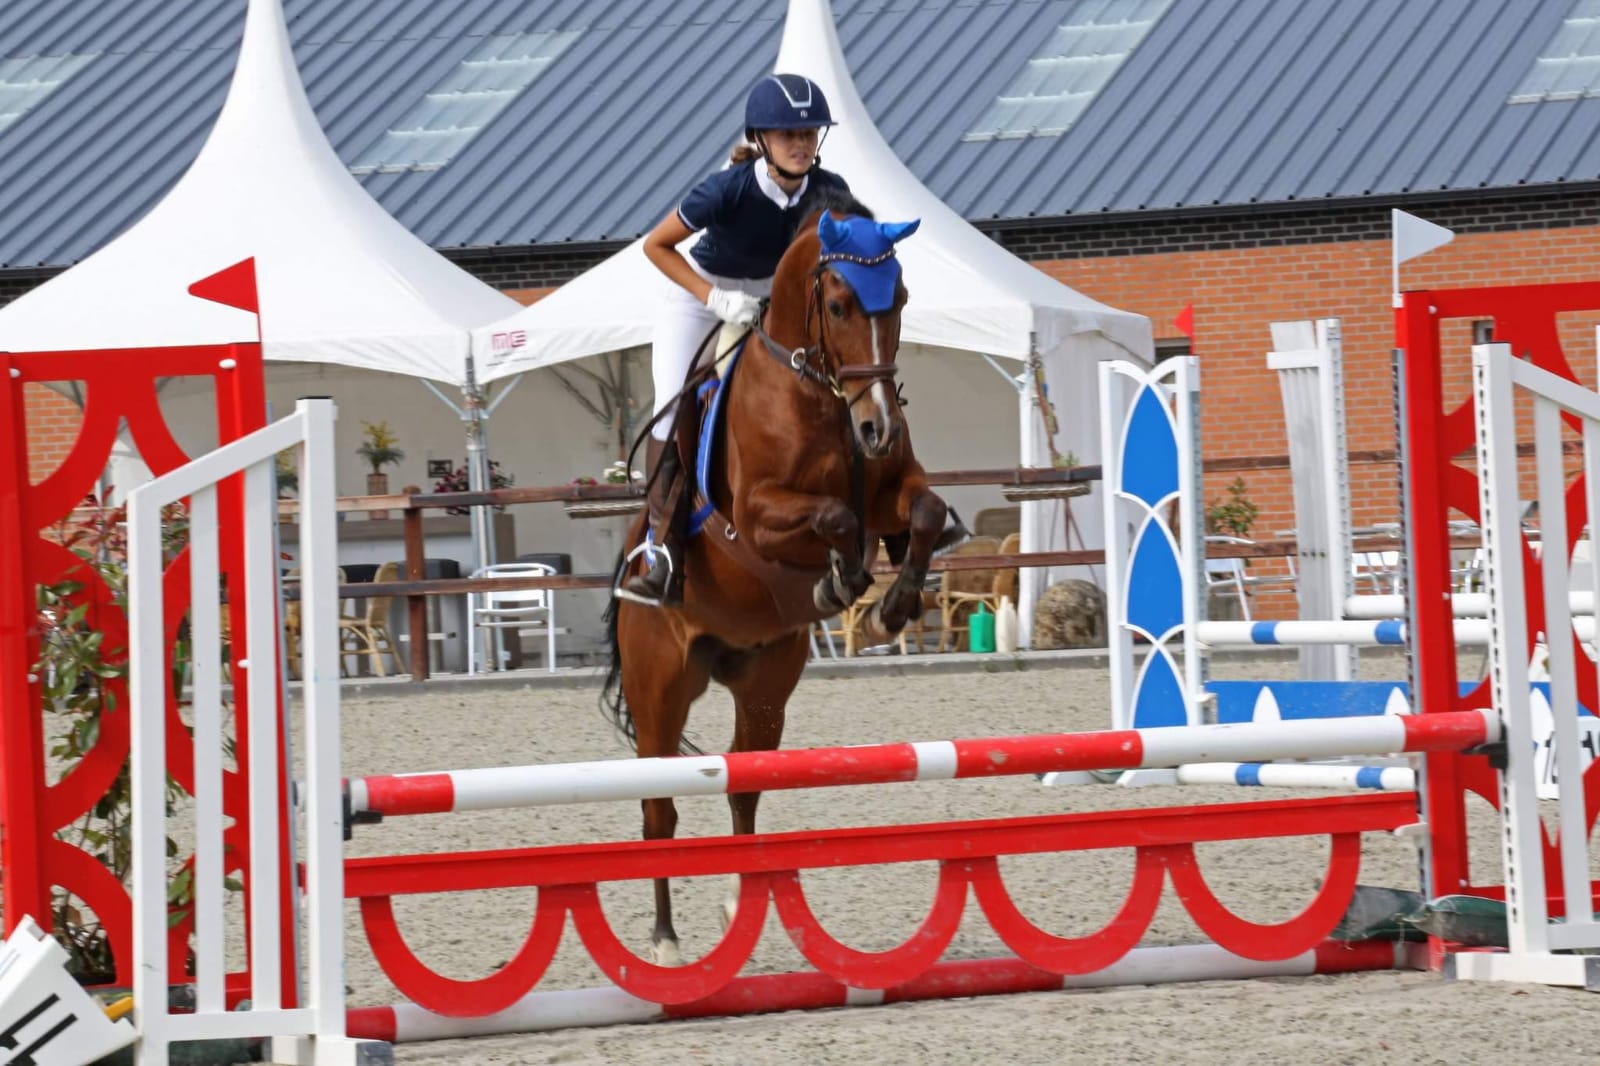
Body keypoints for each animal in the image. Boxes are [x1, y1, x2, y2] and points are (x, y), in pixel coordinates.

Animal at [602, 192, 958, 965]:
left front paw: (887, 608)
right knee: (657, 805)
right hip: (659, 685)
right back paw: (666, 941)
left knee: (744, 783)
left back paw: (744, 901)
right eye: (839, 302)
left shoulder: (893, 489)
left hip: (765, 683)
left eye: (900, 299)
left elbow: (921, 512)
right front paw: (841, 583)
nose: (878, 428)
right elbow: (834, 518)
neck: (819, 391)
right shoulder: (759, 516)